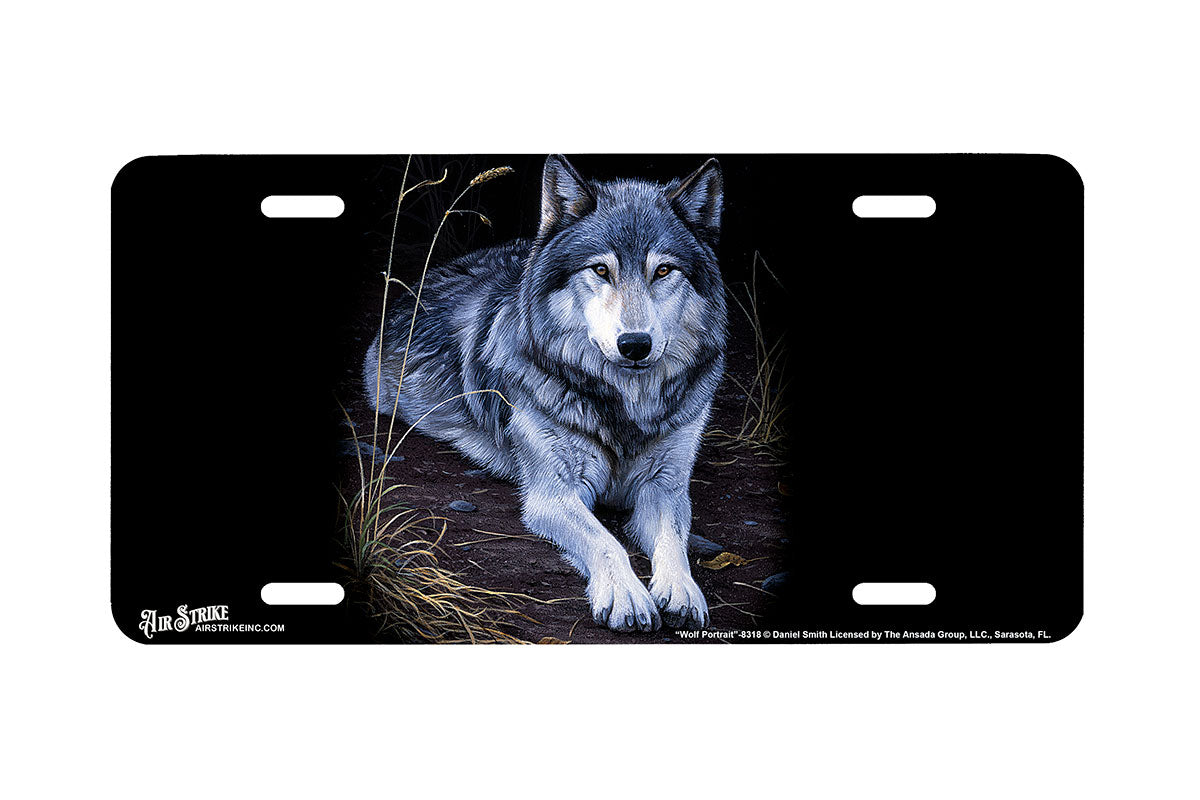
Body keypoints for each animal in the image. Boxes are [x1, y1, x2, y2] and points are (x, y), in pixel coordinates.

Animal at [364, 155, 727, 632]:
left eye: (663, 270)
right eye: (600, 270)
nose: (634, 344)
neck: (625, 411)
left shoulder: (664, 488)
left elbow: (673, 541)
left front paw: (681, 590)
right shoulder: (554, 494)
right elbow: (607, 541)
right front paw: (627, 595)